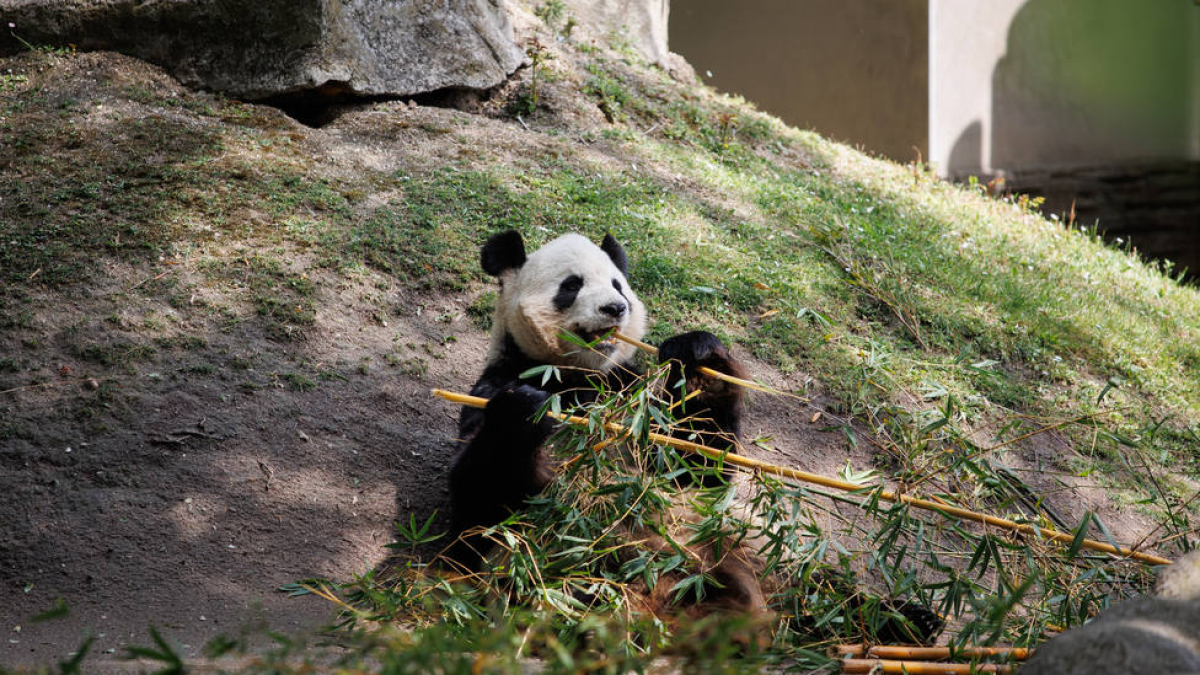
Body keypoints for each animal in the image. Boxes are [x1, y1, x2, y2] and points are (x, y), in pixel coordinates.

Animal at [444, 229, 763, 621]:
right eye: (571, 285)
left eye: (618, 285)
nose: (615, 308)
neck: (580, 376)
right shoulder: (499, 380)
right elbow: (475, 514)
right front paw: (525, 410)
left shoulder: (629, 391)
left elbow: (698, 468)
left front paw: (699, 359)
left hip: (716, 553)